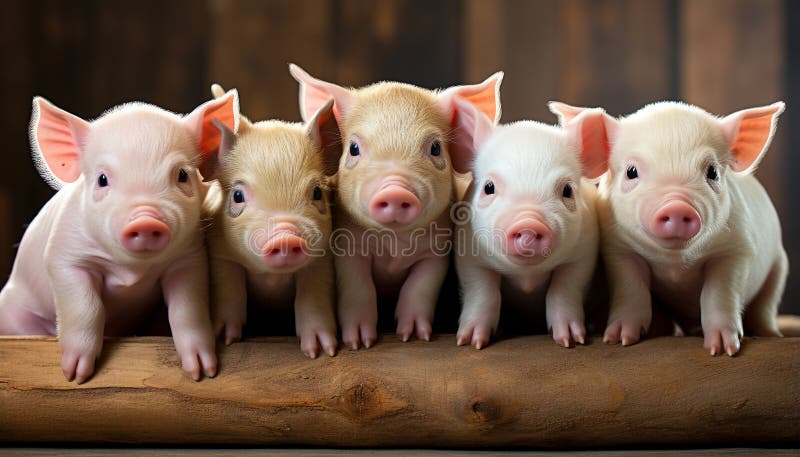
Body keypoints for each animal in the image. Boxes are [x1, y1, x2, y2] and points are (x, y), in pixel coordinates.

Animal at [0, 93, 238, 383]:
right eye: (102, 179)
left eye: (182, 175)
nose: (145, 219)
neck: (132, 269)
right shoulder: (65, 255)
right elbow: (85, 307)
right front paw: (75, 375)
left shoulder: (188, 258)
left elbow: (187, 309)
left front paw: (202, 372)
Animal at [203, 84, 340, 358]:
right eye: (237, 196)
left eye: (317, 192)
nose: (285, 236)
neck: (272, 277)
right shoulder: (221, 255)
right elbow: (229, 289)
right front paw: (225, 339)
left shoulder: (321, 258)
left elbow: (313, 295)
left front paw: (320, 351)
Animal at [290, 64, 502, 349]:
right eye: (353, 148)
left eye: (436, 148)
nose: (394, 189)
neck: (395, 245)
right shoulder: (348, 248)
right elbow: (359, 287)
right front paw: (360, 343)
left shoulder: (436, 252)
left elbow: (421, 286)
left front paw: (412, 336)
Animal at [453, 98, 610, 349]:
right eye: (489, 187)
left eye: (567, 190)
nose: (528, 223)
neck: (527, 276)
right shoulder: (469, 255)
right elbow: (482, 291)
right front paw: (470, 342)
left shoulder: (583, 252)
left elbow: (565, 289)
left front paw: (571, 340)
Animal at [550, 100, 787, 356]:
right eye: (631, 171)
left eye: (712, 172)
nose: (676, 206)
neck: (675, 263)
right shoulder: (620, 249)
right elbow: (631, 290)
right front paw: (618, 339)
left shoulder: (737, 249)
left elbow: (719, 294)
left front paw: (723, 350)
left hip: (779, 268)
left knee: (765, 307)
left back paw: (773, 335)